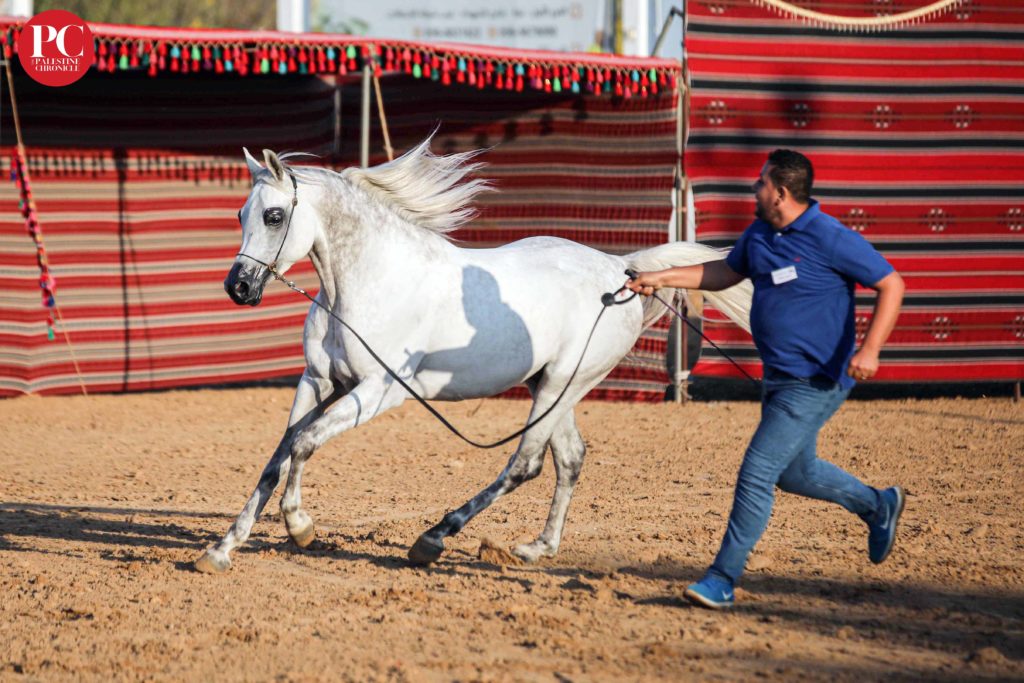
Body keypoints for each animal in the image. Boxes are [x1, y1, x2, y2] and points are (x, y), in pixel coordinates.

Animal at [194, 136, 752, 573]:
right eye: (240, 214)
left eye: (274, 215)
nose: (237, 287)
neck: (369, 282)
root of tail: (622, 271)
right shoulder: (318, 382)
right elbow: (278, 455)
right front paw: (222, 549)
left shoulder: (379, 392)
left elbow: (304, 443)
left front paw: (300, 526)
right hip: (552, 388)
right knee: (569, 458)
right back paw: (537, 548)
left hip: (563, 384)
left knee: (525, 464)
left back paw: (433, 538)